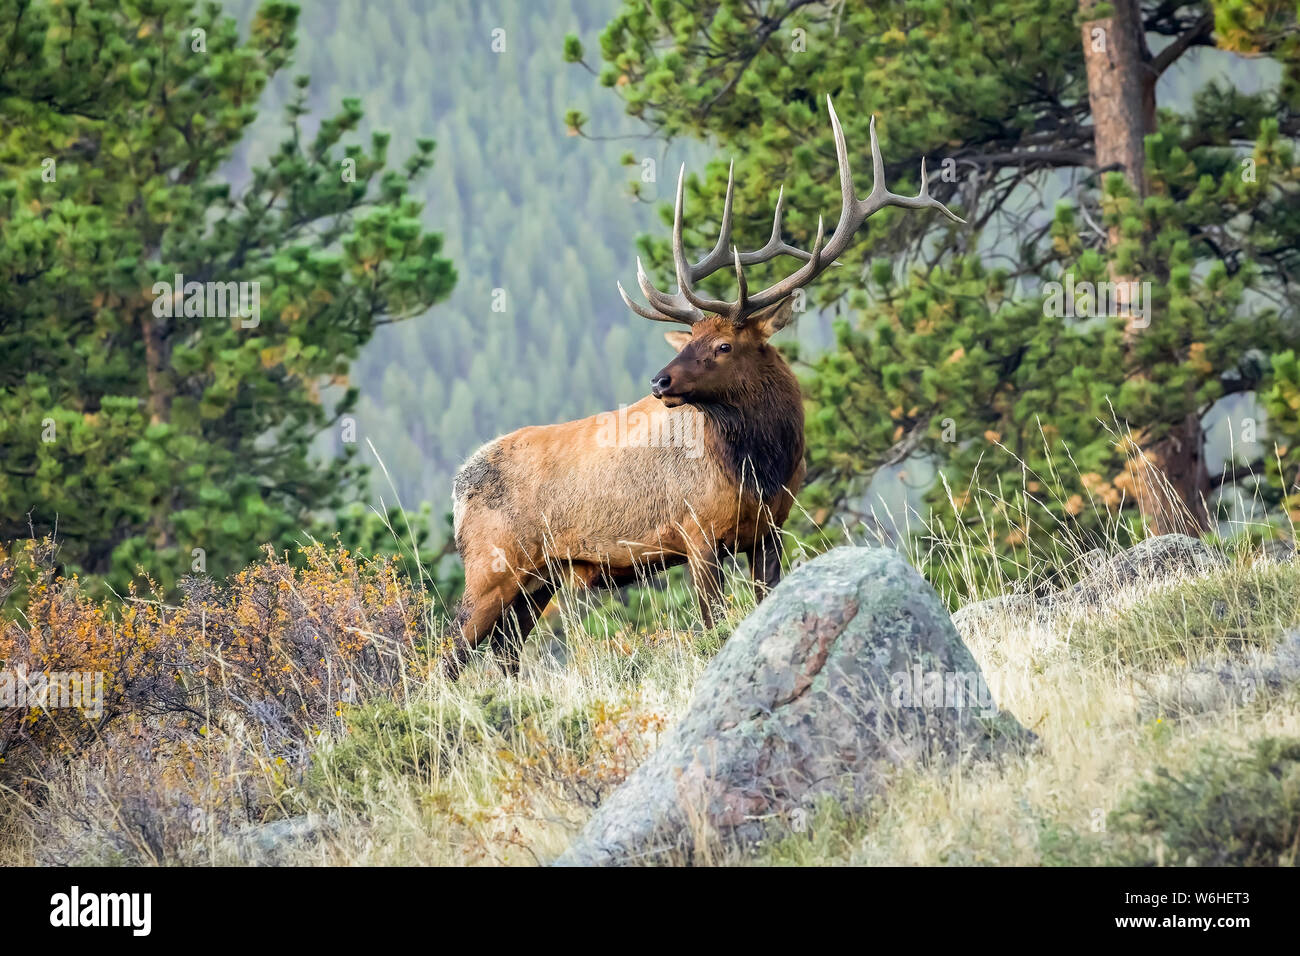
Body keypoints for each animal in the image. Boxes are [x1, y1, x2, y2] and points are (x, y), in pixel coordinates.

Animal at [445, 97, 963, 679]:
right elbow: (711, 623)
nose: (659, 380)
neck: (760, 466)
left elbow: (762, 603)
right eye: (690, 337)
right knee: (445, 655)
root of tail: (457, 488)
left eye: (723, 346)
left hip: (539, 579)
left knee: (504, 652)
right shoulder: (695, 534)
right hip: (491, 567)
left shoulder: (770, 530)